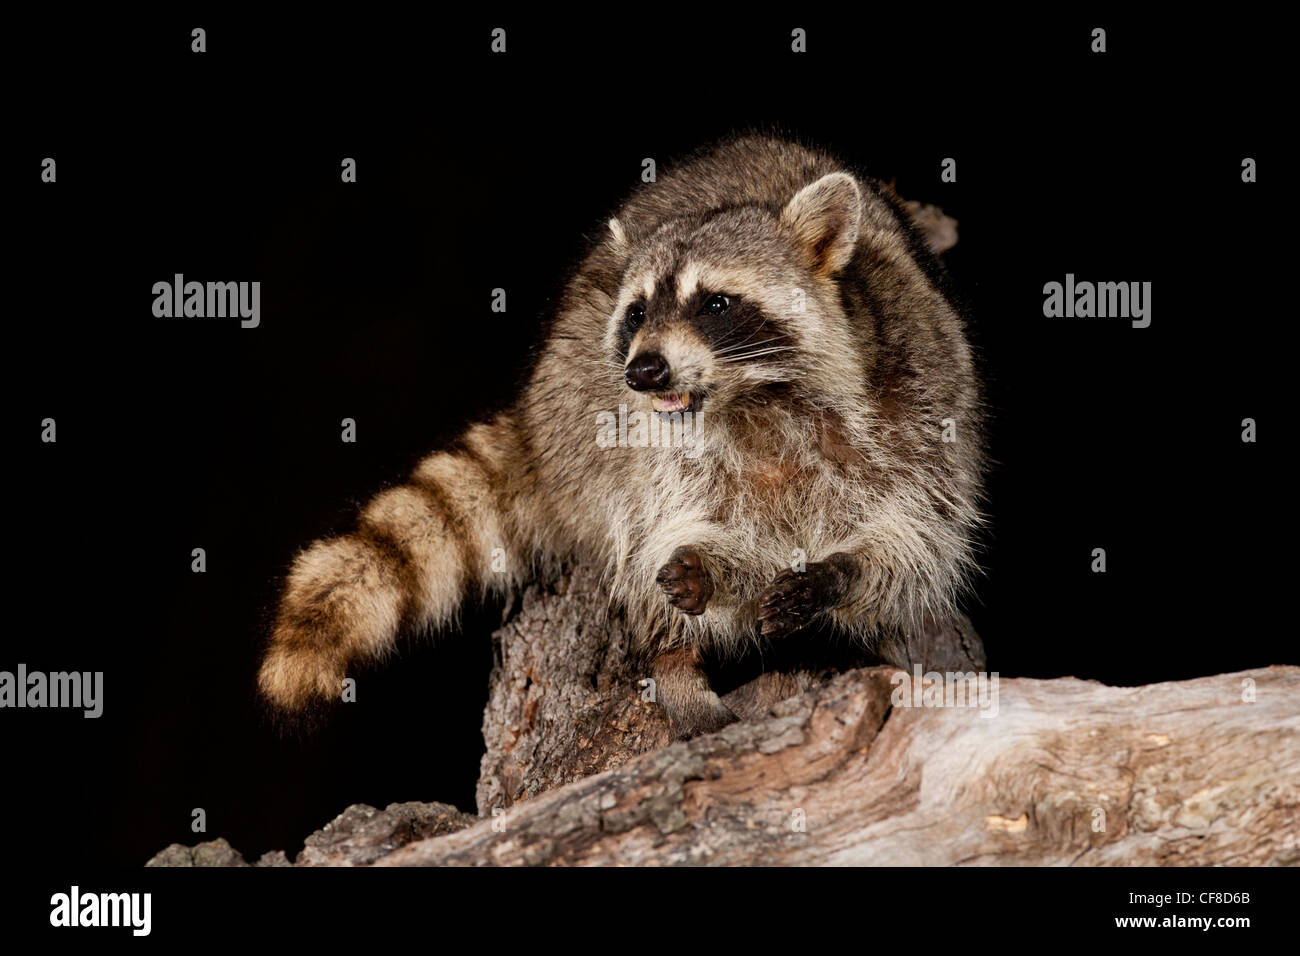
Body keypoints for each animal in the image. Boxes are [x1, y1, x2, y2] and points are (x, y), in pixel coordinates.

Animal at [258, 136, 985, 739]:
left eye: (714, 303)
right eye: (637, 313)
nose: (644, 370)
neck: (755, 402)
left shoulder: (917, 406)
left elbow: (913, 543)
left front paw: (837, 575)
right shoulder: (656, 450)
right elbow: (667, 533)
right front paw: (708, 577)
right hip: (577, 402)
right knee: (630, 540)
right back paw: (675, 663)